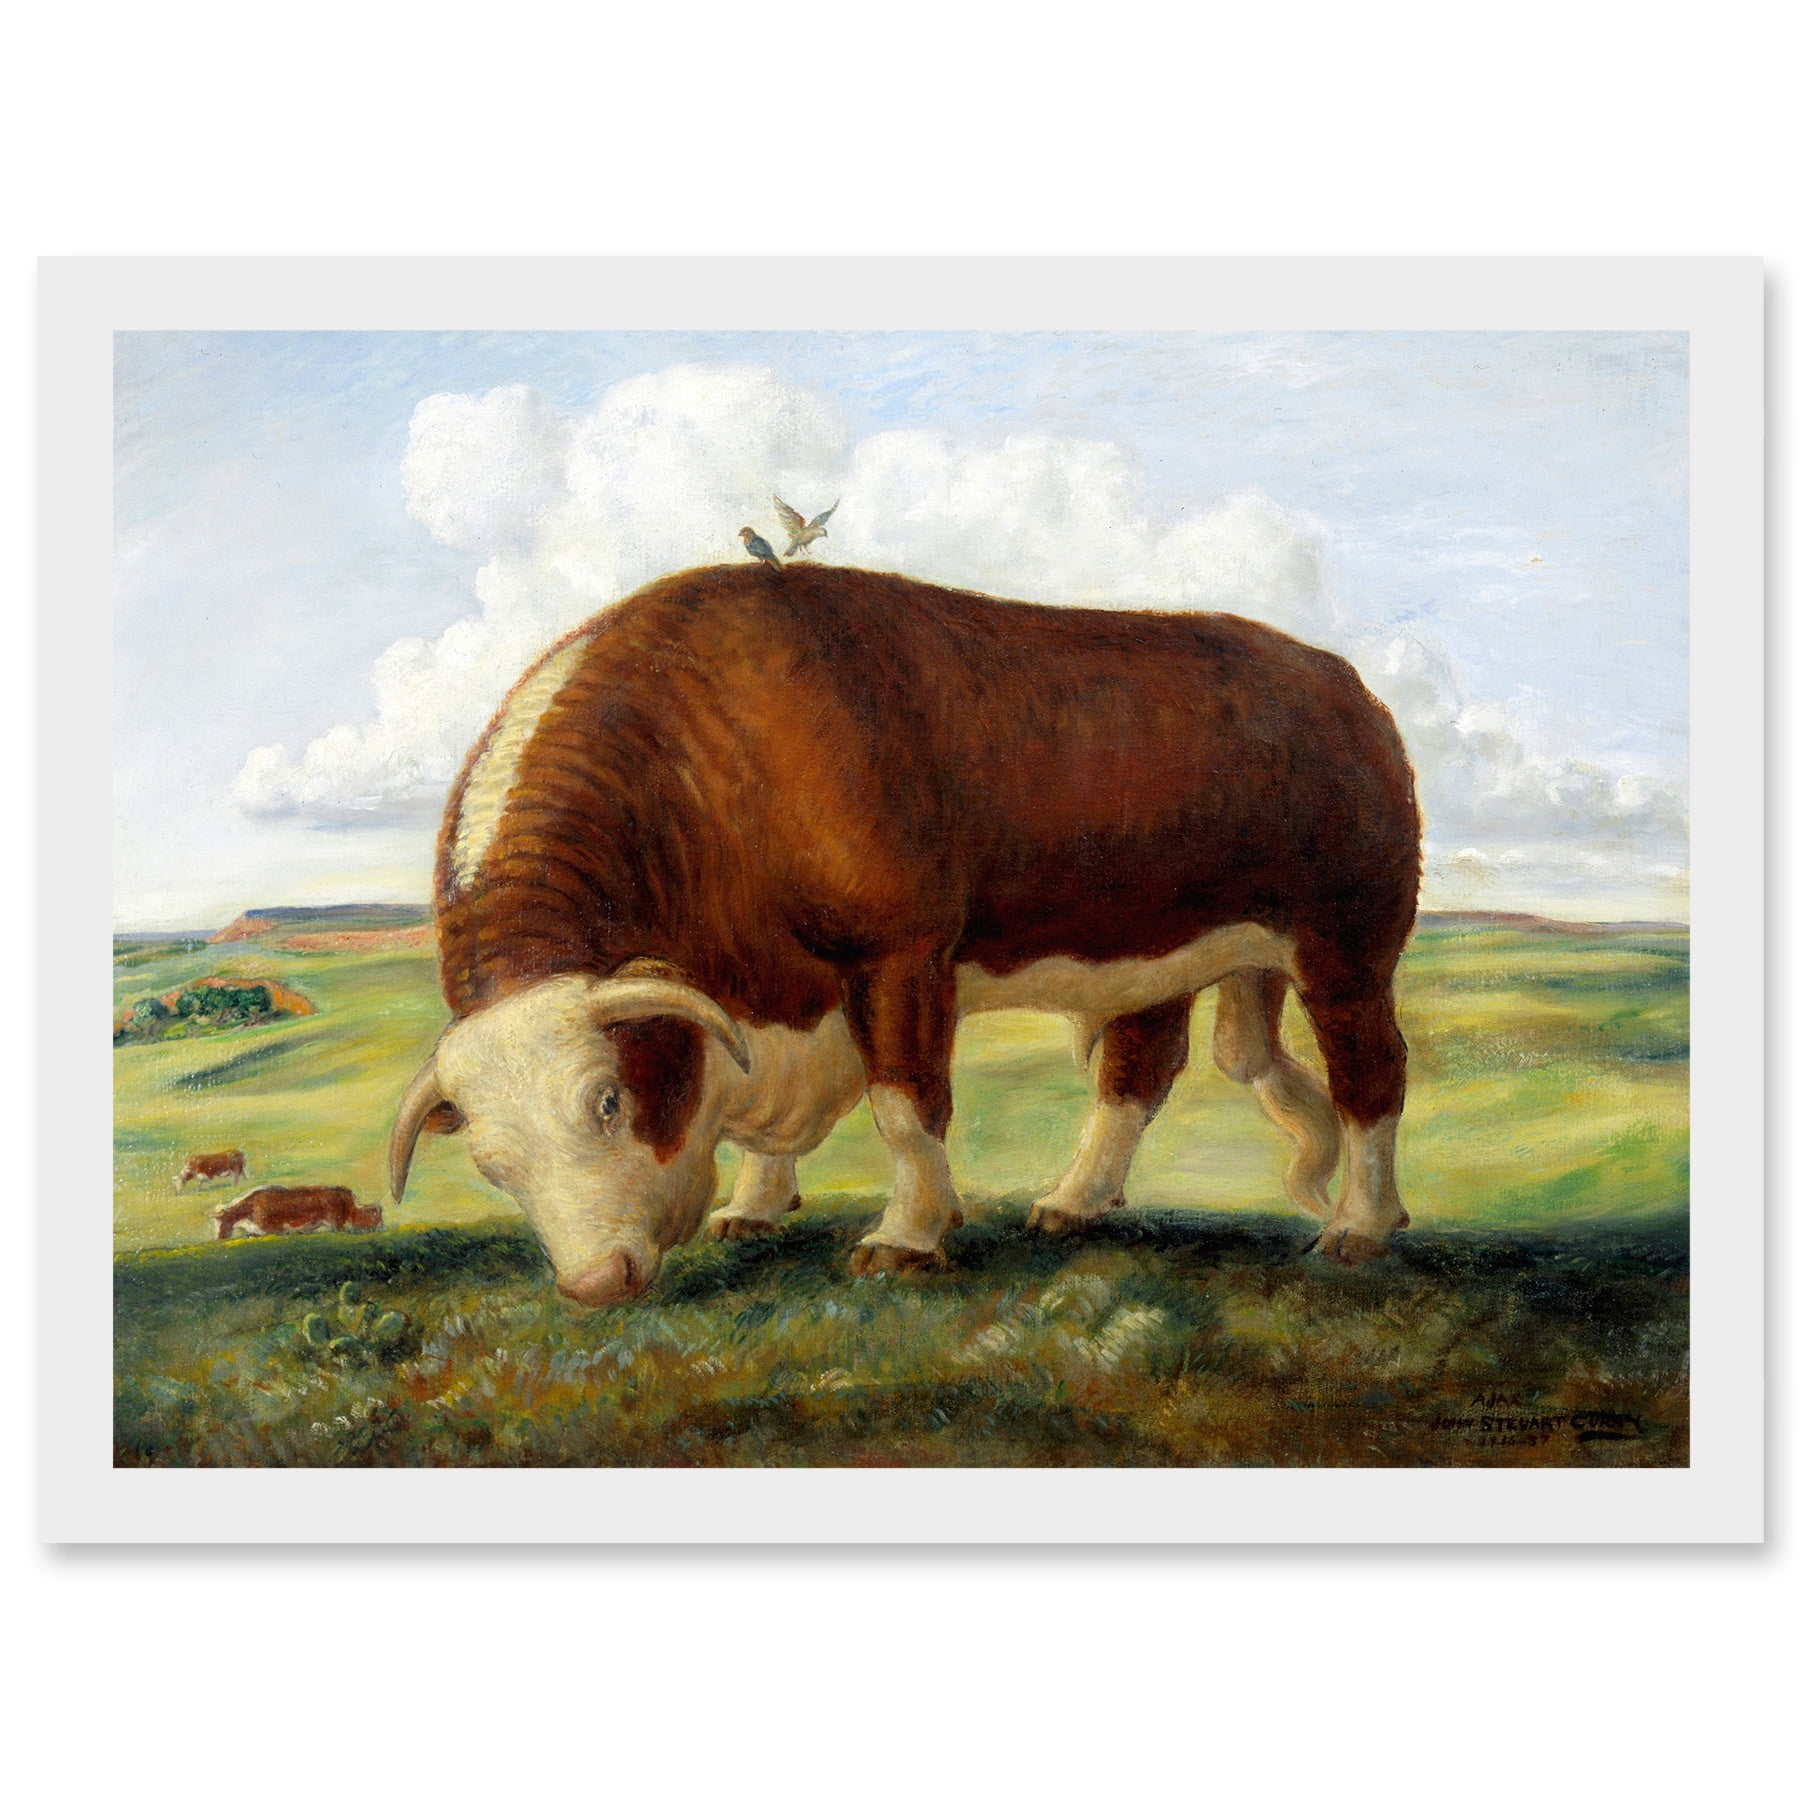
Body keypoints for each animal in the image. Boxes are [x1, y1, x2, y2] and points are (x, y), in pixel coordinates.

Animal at [388, 564, 1420, 1306]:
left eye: (606, 1101)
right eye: (488, 1163)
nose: (598, 1285)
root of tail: (1338, 682)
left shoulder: (901, 955)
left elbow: (905, 1104)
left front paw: (907, 1236)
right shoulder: (772, 994)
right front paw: (755, 1208)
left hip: (1347, 943)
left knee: (1369, 1072)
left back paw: (1360, 1226)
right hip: (1164, 954)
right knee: (1150, 1066)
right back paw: (1076, 1201)